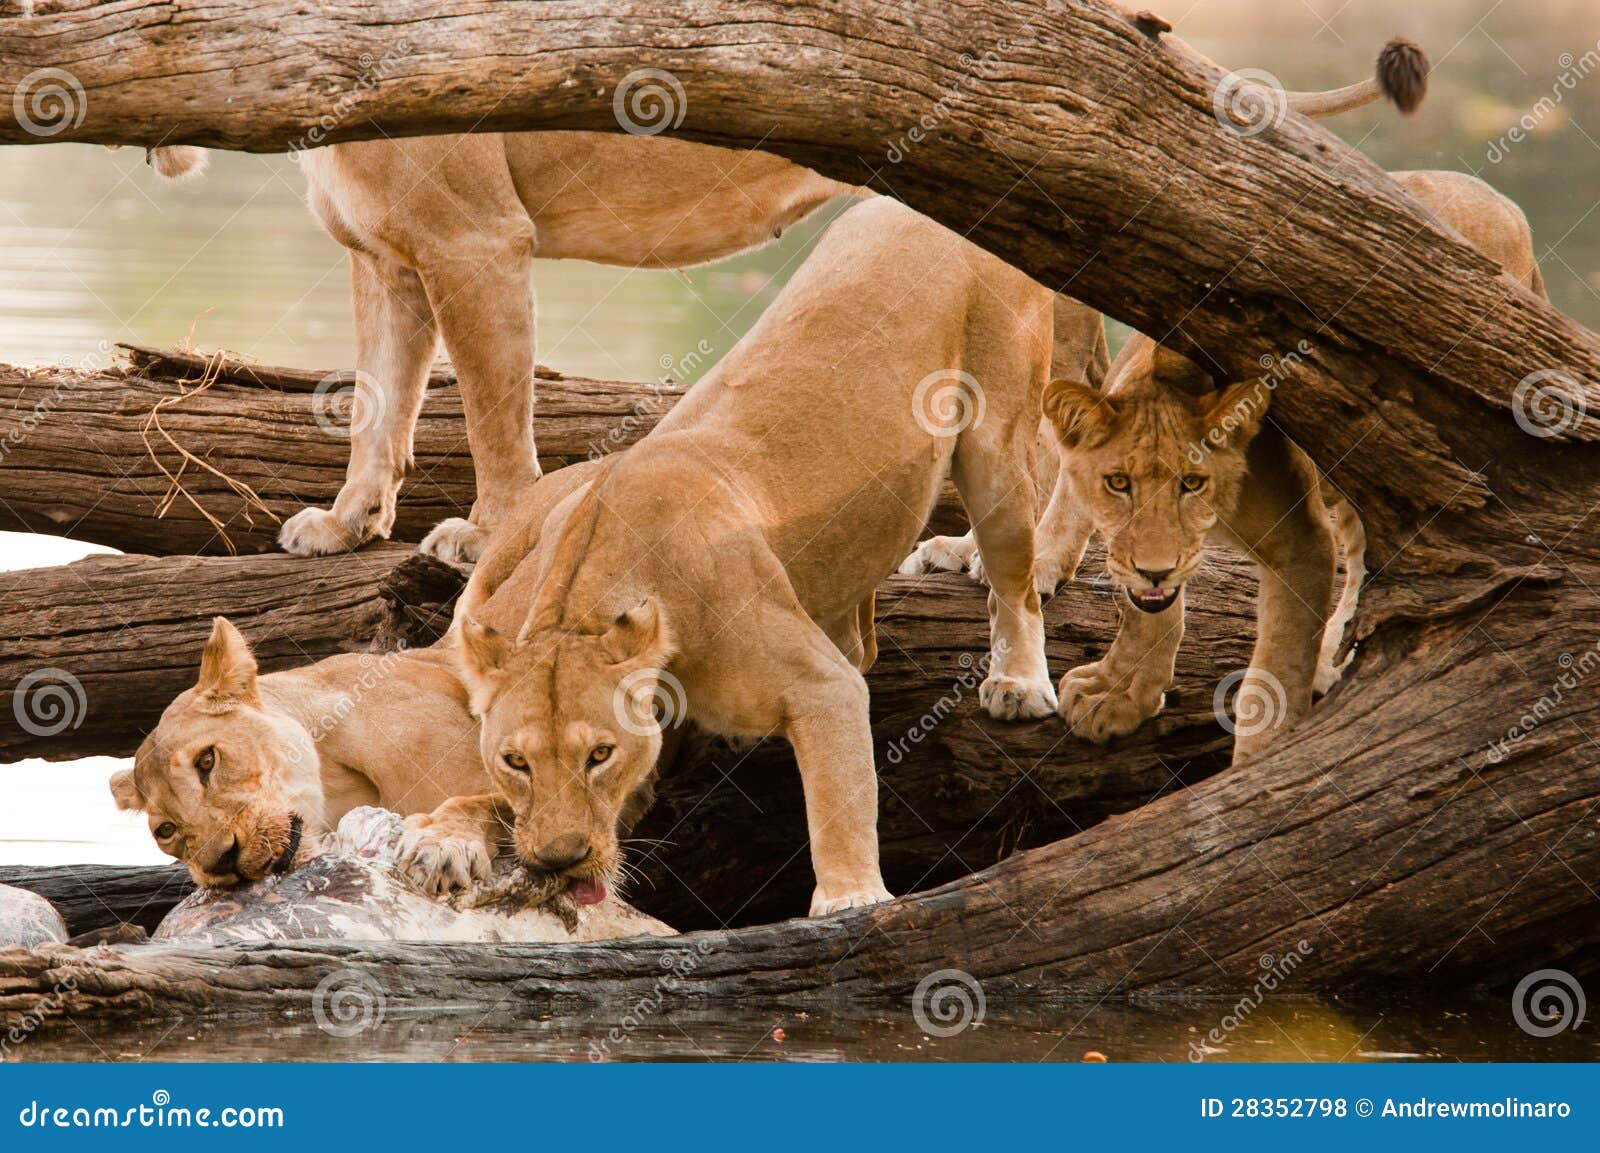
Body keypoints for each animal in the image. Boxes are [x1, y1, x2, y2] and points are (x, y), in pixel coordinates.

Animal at [904, 168, 1543, 762]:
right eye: (1119, 483)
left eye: (1194, 483)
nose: (1155, 565)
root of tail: (1510, 210)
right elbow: (1147, 609)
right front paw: (1121, 696)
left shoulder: (1299, 541)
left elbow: (1271, 678)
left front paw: (1259, 774)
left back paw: (1329, 656)